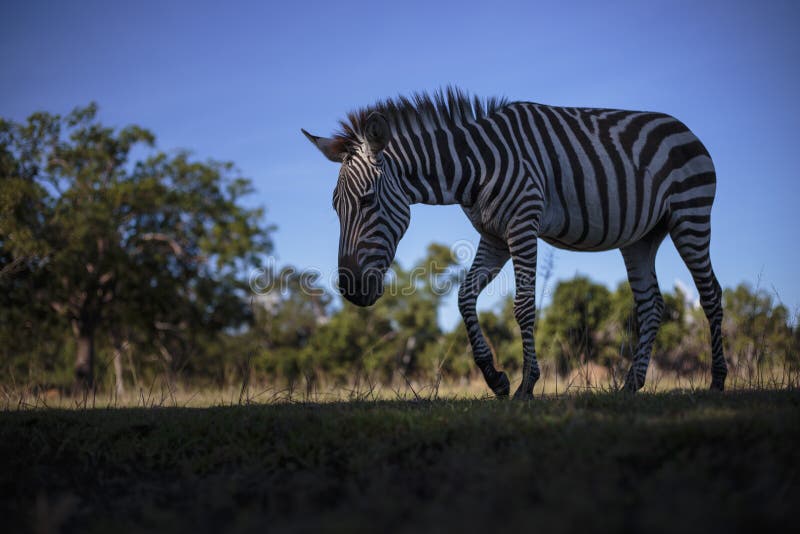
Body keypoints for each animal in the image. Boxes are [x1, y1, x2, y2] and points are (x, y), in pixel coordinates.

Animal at [302, 88, 726, 399]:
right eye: (336, 207)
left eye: (367, 200)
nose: (351, 290)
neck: (473, 167)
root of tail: (684, 128)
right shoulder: (495, 237)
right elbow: (464, 297)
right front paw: (495, 378)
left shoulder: (523, 223)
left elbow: (523, 306)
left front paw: (527, 384)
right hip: (639, 239)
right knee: (651, 305)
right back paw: (631, 384)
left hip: (689, 215)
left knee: (710, 294)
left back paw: (718, 381)